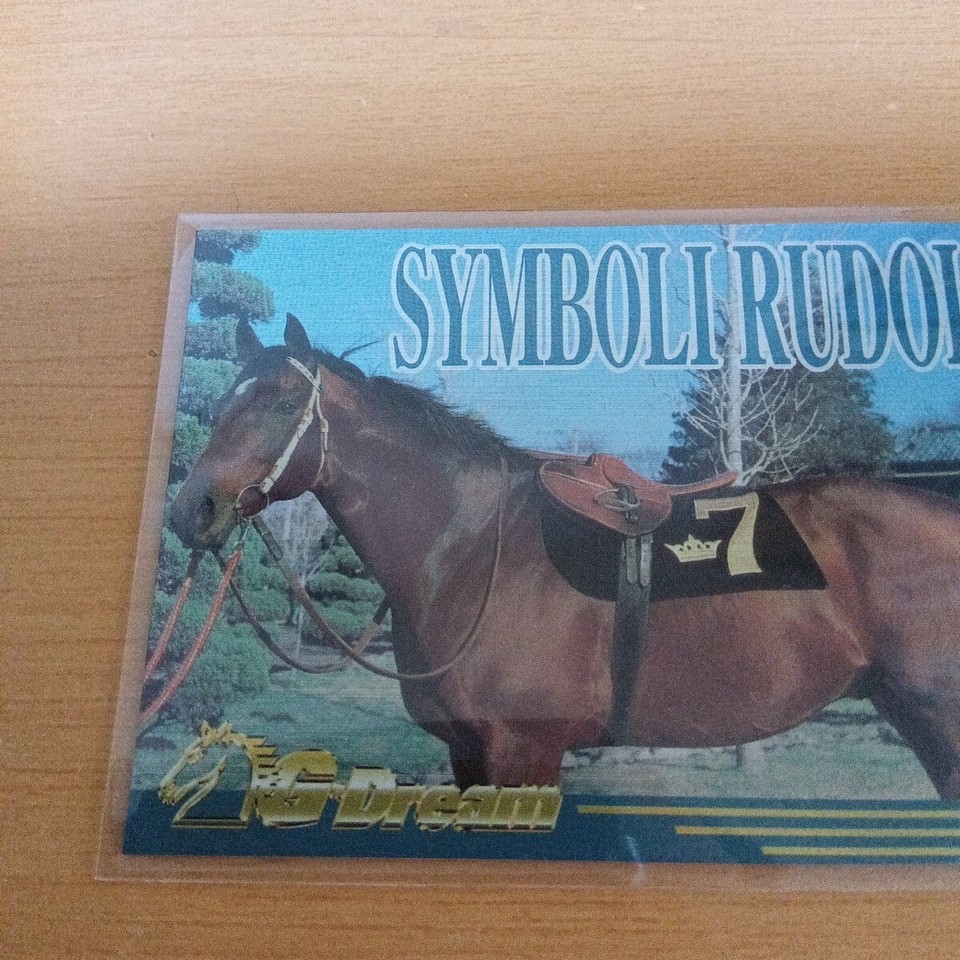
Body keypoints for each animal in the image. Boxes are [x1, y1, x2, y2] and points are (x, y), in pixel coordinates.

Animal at [170, 314, 960, 797]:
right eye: (227, 398)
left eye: (279, 400)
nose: (190, 510)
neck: (471, 549)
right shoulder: (468, 753)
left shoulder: (524, 750)